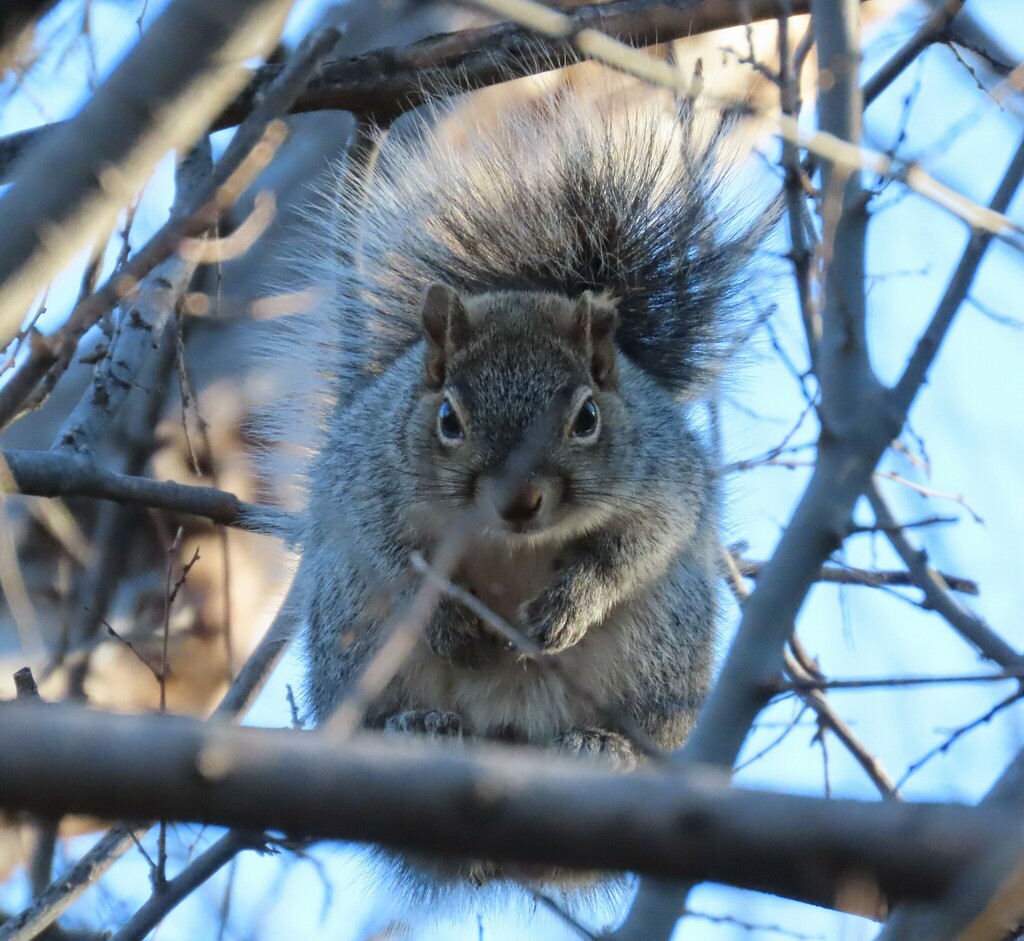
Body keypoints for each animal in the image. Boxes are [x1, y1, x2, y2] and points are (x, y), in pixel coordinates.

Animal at [279, 71, 765, 888]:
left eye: (587, 418)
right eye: (448, 418)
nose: (519, 501)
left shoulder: (665, 482)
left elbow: (637, 547)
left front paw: (572, 603)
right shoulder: (365, 480)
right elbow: (390, 552)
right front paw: (446, 614)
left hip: (662, 656)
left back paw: (604, 748)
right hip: (354, 637)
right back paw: (413, 728)